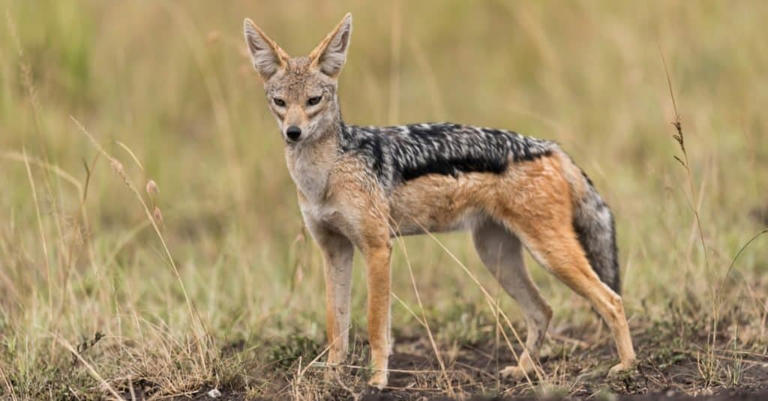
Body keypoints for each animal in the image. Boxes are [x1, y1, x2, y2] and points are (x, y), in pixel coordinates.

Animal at [242, 13, 636, 389]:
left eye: (313, 100)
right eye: (280, 102)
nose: (293, 133)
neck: (324, 174)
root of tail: (551, 147)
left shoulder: (378, 248)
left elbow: (375, 326)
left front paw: (377, 380)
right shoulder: (334, 250)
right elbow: (336, 328)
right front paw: (331, 379)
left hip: (551, 255)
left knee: (612, 301)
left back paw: (627, 367)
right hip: (497, 257)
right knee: (543, 310)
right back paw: (522, 371)